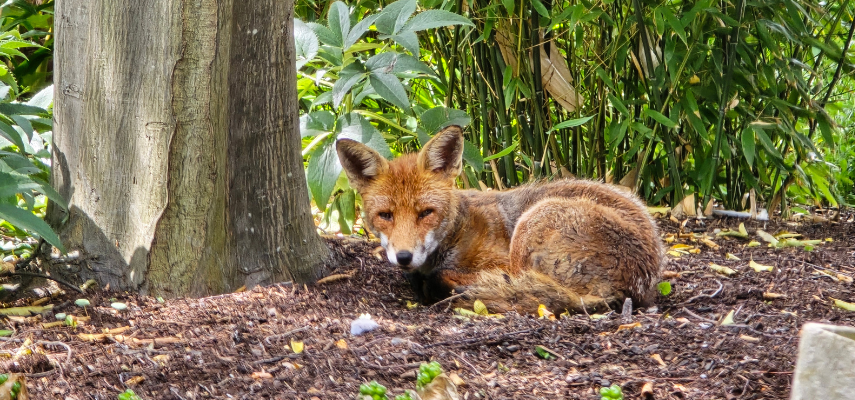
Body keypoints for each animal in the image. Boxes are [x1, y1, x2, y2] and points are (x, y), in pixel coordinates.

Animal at [335, 125, 664, 314]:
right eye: (385, 216)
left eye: (426, 213)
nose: (404, 257)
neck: (456, 233)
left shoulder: (500, 262)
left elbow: (446, 277)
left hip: (532, 224)